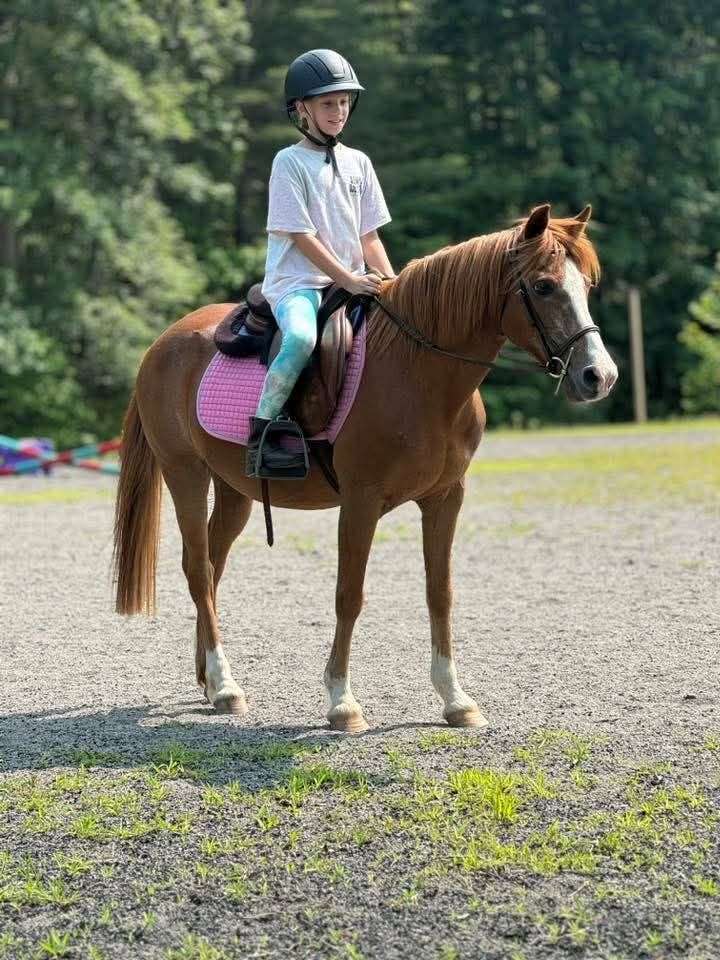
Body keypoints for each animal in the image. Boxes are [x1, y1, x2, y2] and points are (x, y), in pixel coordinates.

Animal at [113, 203, 618, 733]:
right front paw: (342, 701)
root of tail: (161, 344)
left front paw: (455, 698)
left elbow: (440, 592)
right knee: (198, 568)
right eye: (543, 286)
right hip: (185, 472)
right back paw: (226, 685)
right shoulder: (361, 500)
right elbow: (349, 594)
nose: (599, 376)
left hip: (235, 490)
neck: (418, 372)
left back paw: (211, 681)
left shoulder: (445, 498)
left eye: (586, 285)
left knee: (213, 566)